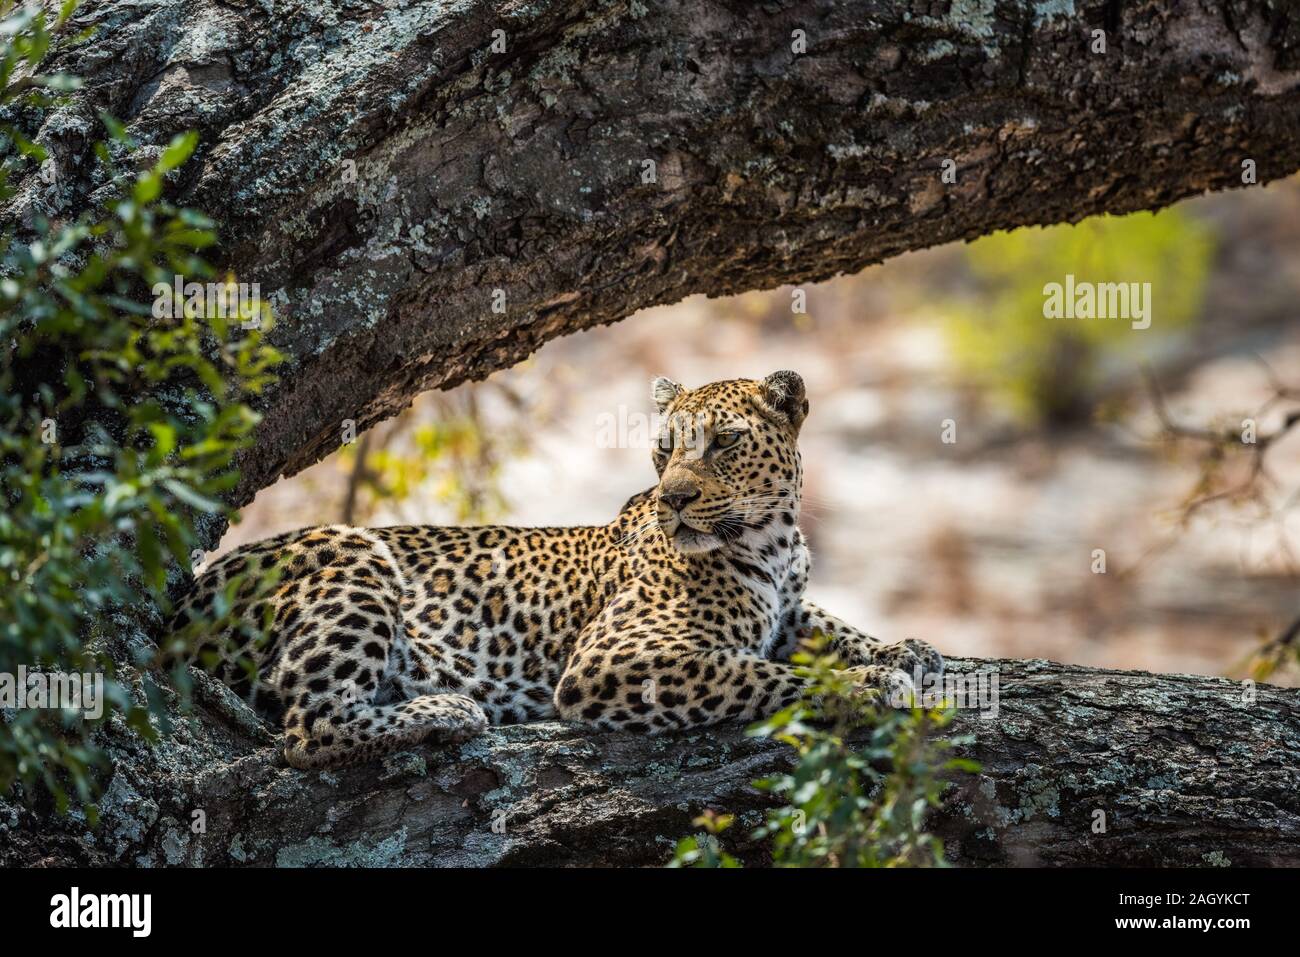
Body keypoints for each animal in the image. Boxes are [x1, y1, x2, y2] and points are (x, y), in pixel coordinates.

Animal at [167, 371, 943, 769]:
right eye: (665, 448)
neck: (775, 542)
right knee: (308, 729)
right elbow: (758, 672)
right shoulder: (617, 657)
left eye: (723, 443)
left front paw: (907, 648)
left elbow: (823, 627)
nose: (675, 498)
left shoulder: (788, 608)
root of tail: (181, 608)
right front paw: (871, 682)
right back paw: (446, 710)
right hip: (353, 553)